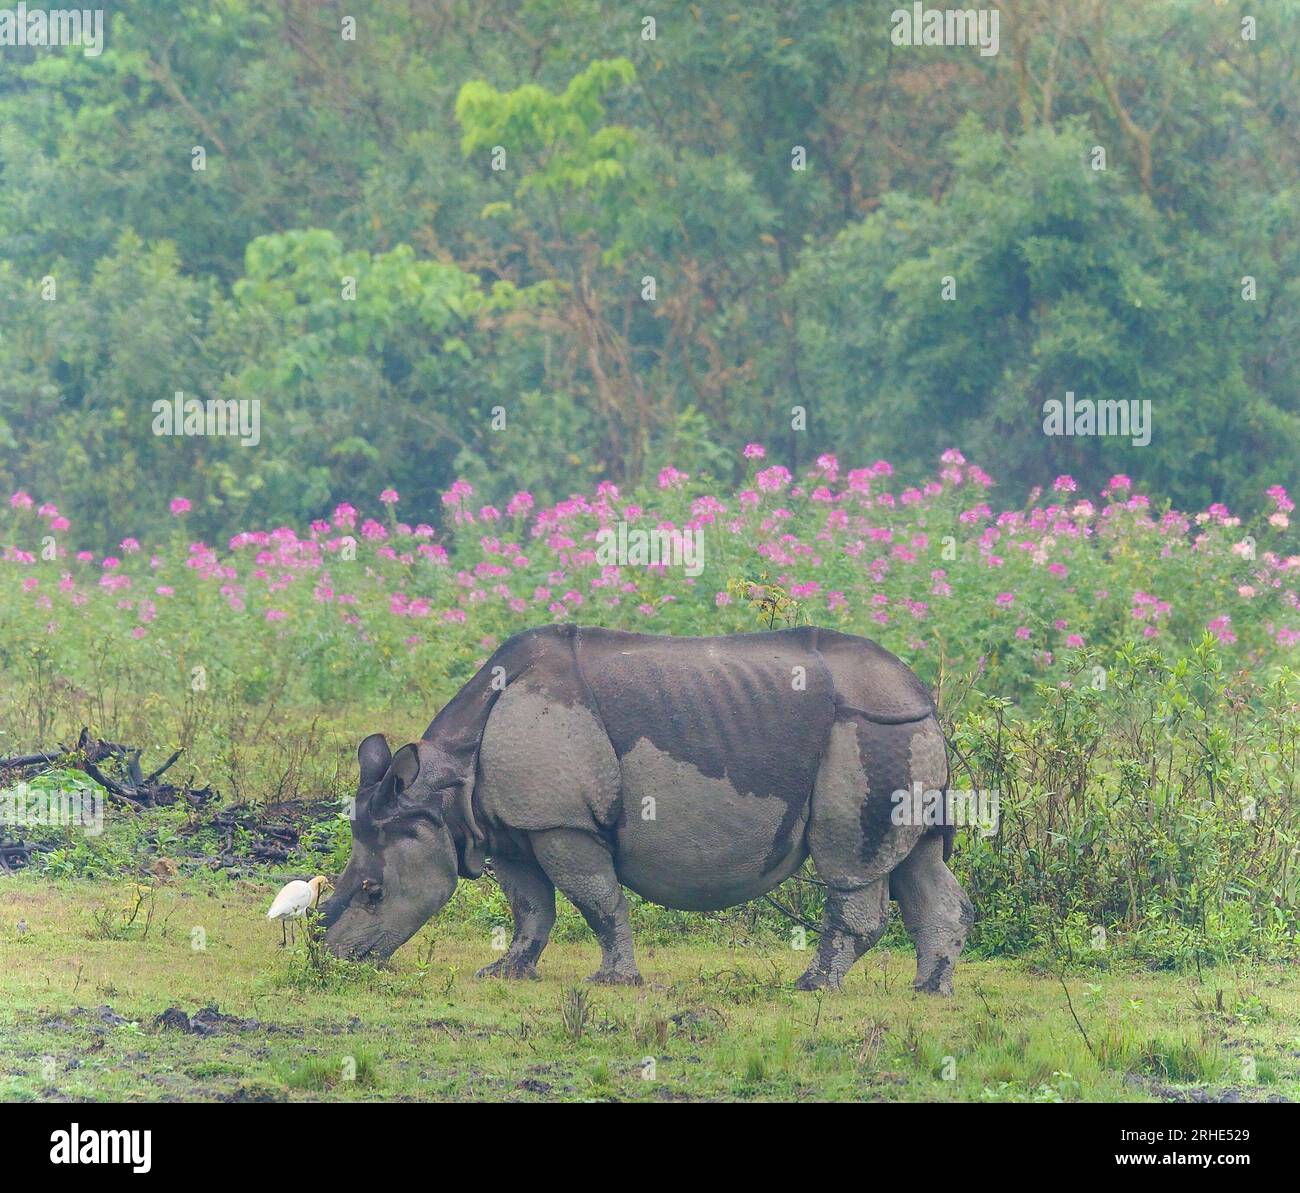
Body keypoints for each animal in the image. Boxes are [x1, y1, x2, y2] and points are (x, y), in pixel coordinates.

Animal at [321, 624, 975, 993]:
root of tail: (921, 693)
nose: (336, 958)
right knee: (918, 858)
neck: (445, 790)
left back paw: (812, 987)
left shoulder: (563, 823)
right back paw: (930, 991)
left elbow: (596, 901)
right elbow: (531, 906)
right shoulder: (509, 826)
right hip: (901, 729)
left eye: (374, 892)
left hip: (870, 728)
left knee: (850, 866)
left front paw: (613, 982)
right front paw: (505, 974)